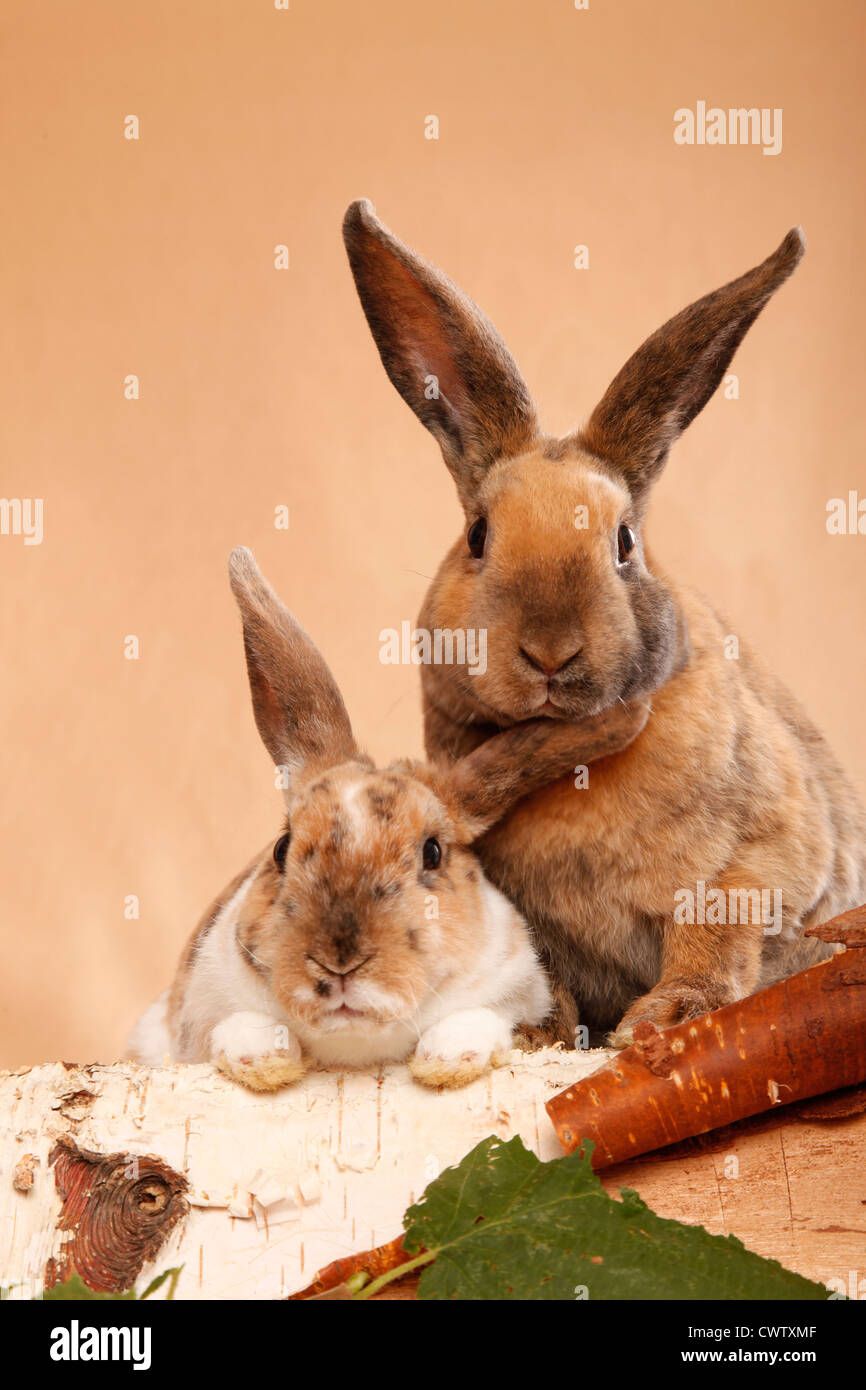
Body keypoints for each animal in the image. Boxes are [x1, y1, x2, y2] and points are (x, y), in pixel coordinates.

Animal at [126, 548, 649, 1090]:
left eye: (432, 853)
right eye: (281, 849)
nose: (339, 964)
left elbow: (484, 1020)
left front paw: (449, 1058)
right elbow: (237, 1026)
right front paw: (263, 1058)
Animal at [342, 199, 866, 1048]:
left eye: (625, 544)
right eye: (478, 535)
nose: (551, 652)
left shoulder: (759, 862)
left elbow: (715, 933)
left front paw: (670, 1014)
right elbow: (539, 970)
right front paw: (535, 1034)